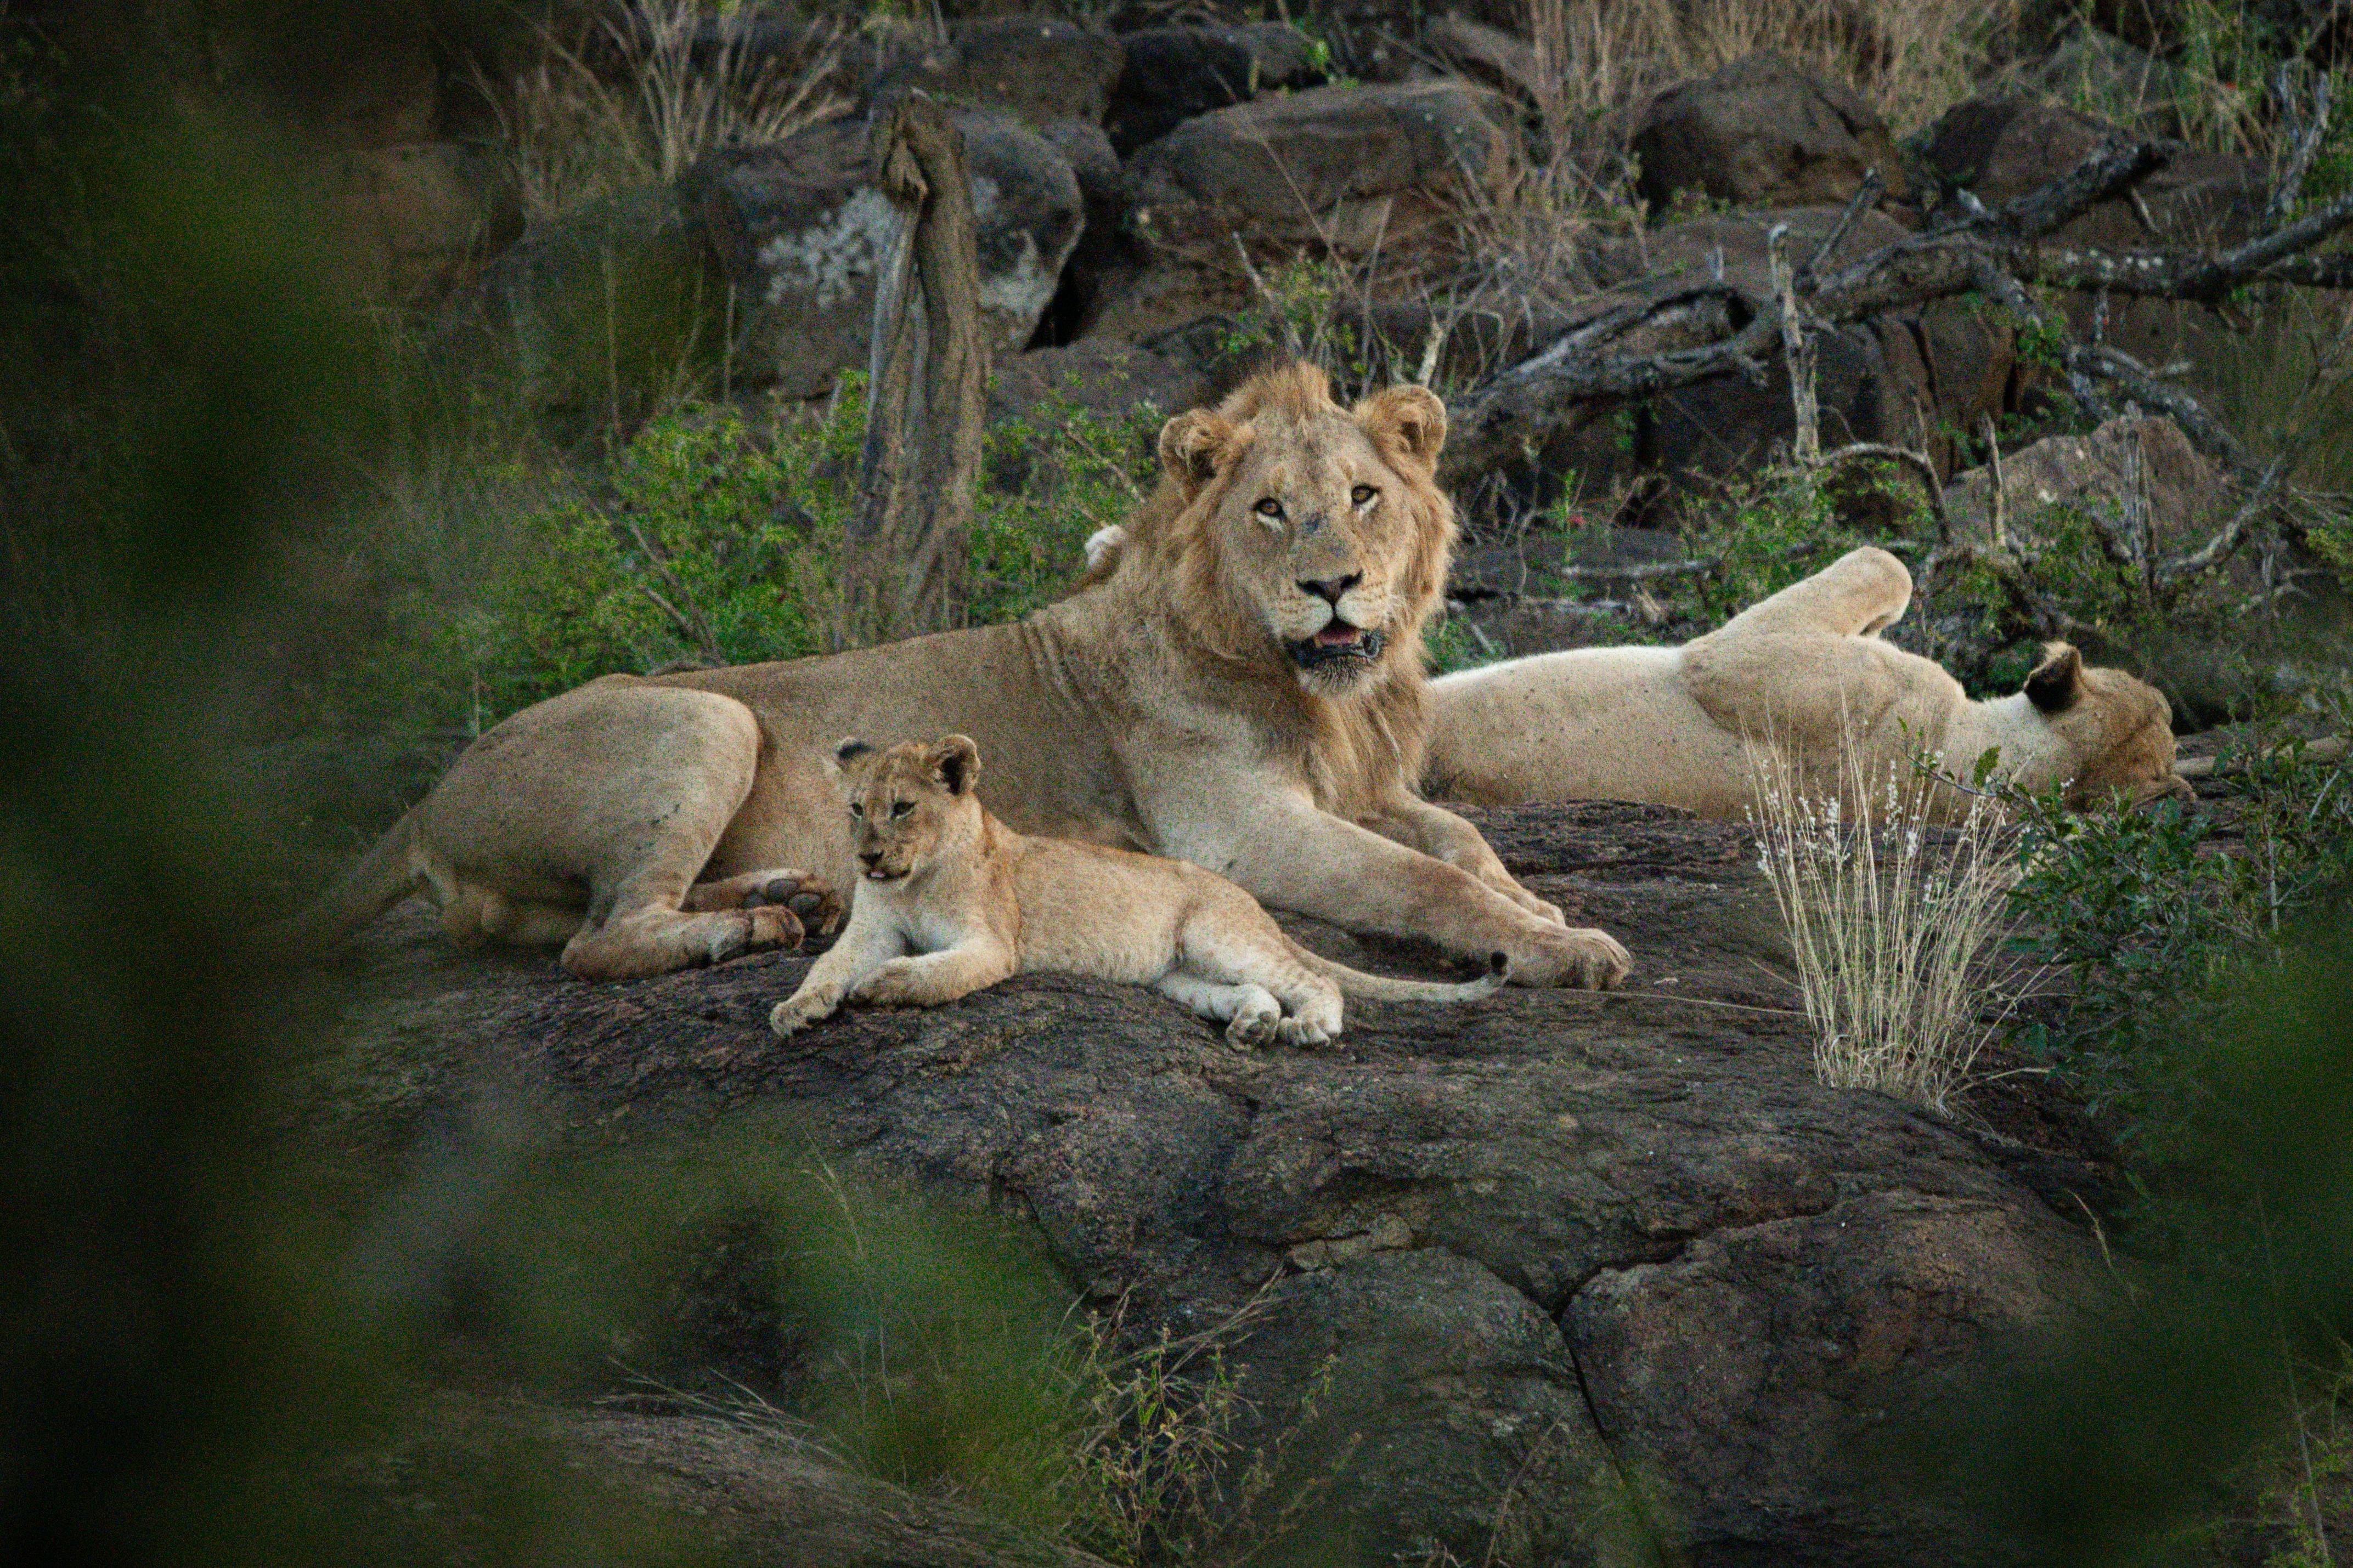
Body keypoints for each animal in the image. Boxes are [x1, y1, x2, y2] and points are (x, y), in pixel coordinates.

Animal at [277, 363, 1628, 988]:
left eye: (1360, 497)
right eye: (1267, 510)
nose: (1336, 585)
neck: (1314, 689)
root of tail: (427, 796)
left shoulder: (1363, 787)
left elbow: (1458, 840)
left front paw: (1541, 907)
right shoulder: (1237, 830)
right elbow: (1420, 880)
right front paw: (1557, 949)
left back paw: (788, 894)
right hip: (702, 716)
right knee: (602, 940)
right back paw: (758, 924)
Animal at [770, 736, 1508, 1047]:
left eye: (901, 809)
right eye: (855, 809)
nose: (866, 858)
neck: (913, 880)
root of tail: (1250, 903)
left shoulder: (991, 943)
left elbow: (935, 972)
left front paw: (885, 985)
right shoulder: (870, 928)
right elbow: (826, 965)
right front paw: (796, 1009)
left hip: (1212, 932)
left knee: (1312, 979)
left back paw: (1310, 1028)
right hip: (1176, 975)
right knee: (1252, 989)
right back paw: (1252, 1025)